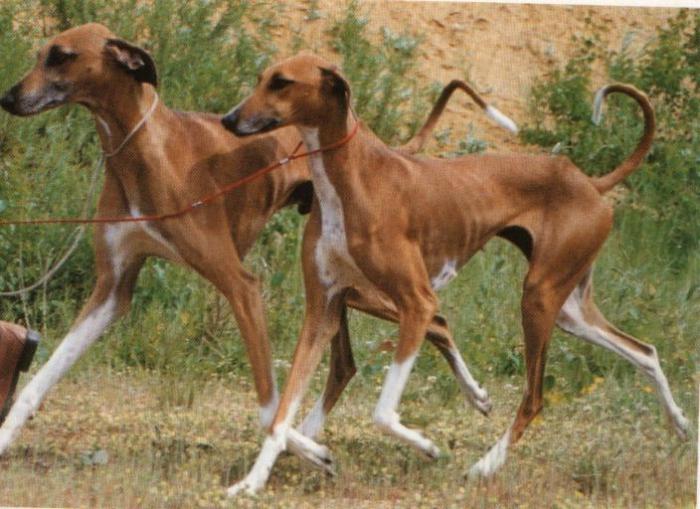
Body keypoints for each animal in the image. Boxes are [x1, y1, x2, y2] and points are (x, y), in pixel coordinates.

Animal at [0, 24, 516, 460]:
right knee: (350, 361)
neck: (144, 153)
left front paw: (299, 448)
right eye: (41, 53)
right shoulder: (112, 289)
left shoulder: (240, 285)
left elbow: (268, 400)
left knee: (436, 320)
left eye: (61, 56)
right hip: (336, 287)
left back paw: (474, 399)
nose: (8, 97)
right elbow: (40, 380)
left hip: (370, 286)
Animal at [223, 53, 688, 494]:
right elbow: (278, 415)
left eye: (282, 82)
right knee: (645, 351)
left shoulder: (417, 302)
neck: (350, 179)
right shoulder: (323, 309)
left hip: (537, 298)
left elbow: (382, 412)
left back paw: (485, 466)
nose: (229, 120)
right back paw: (680, 423)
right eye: (262, 78)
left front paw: (427, 446)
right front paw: (252, 482)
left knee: (534, 398)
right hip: (569, 310)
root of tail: (590, 182)